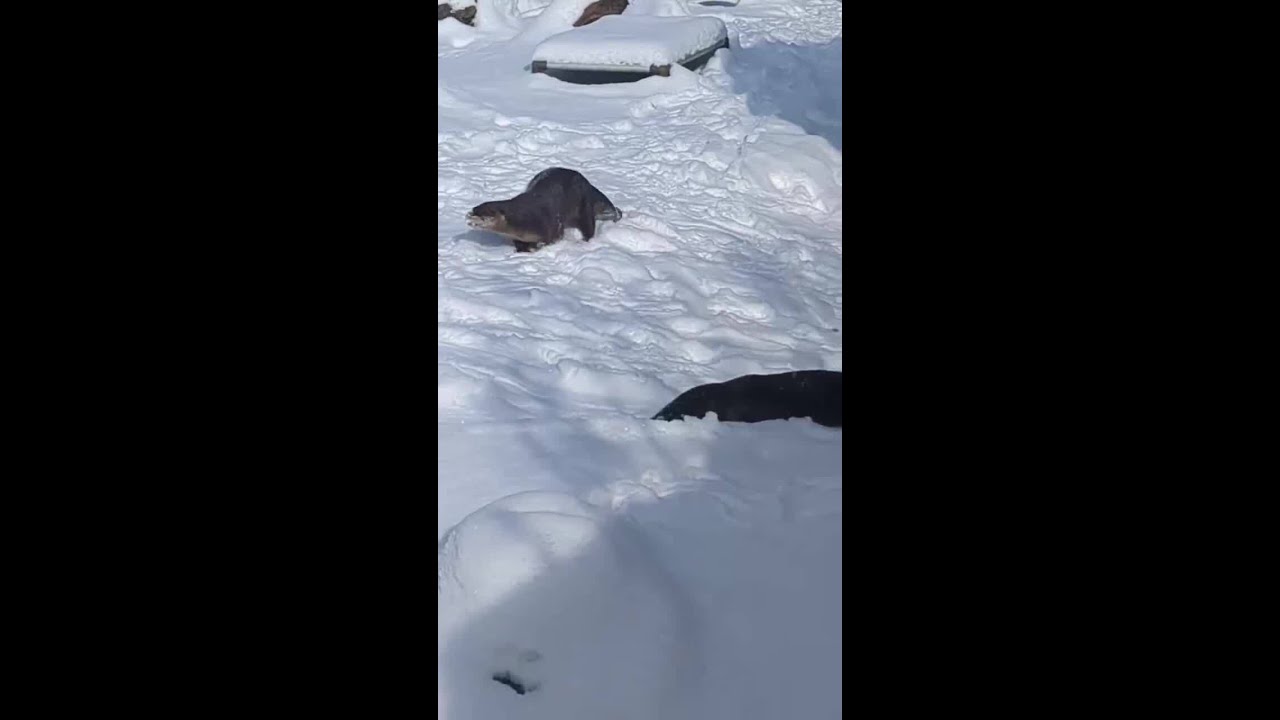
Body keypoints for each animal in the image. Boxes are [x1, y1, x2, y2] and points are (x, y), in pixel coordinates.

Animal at [466, 168, 623, 252]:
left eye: (484, 213)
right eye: (475, 209)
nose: (469, 214)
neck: (526, 218)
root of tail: (588, 184)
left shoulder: (552, 224)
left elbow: (554, 238)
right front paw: (522, 249)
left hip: (584, 206)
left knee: (589, 228)